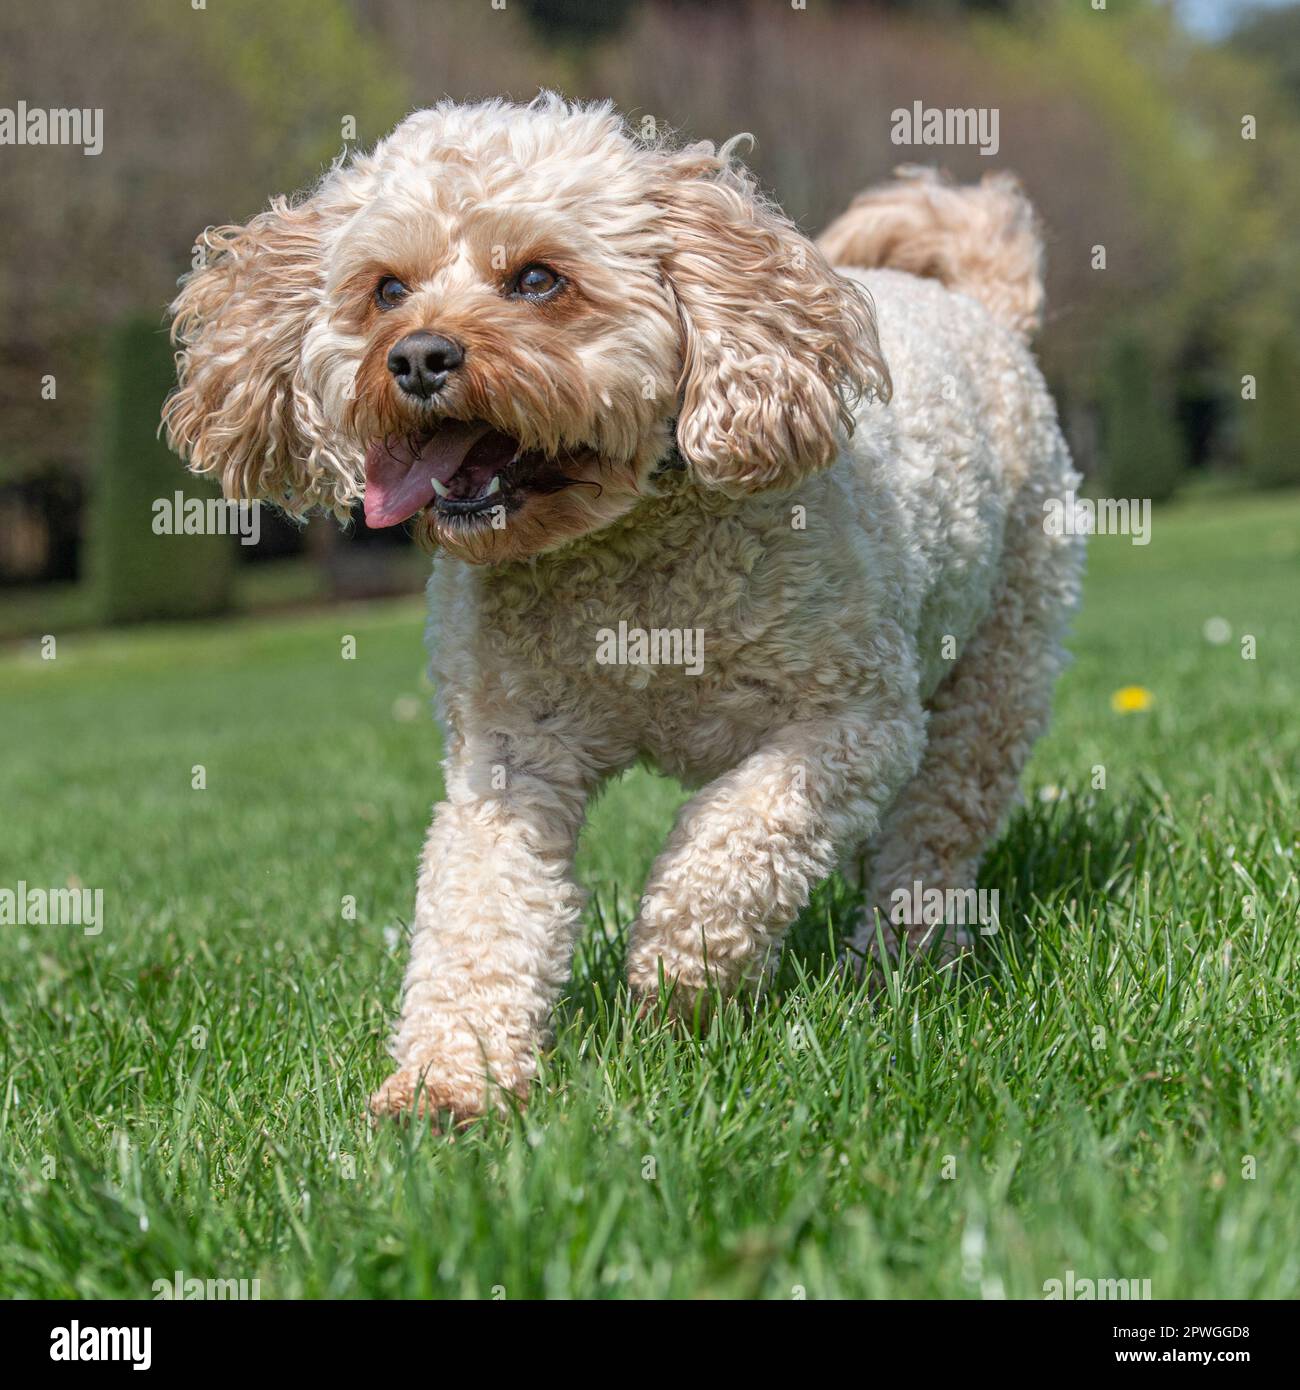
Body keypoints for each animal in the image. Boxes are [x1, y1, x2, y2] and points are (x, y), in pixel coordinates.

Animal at [167, 95, 1095, 1117]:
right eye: (386, 289)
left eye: (538, 278)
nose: (415, 357)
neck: (625, 561)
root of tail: (980, 304)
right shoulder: (510, 756)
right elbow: (479, 907)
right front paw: (452, 1076)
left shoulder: (853, 724)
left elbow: (727, 847)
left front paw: (676, 981)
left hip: (998, 665)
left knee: (935, 831)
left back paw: (899, 961)